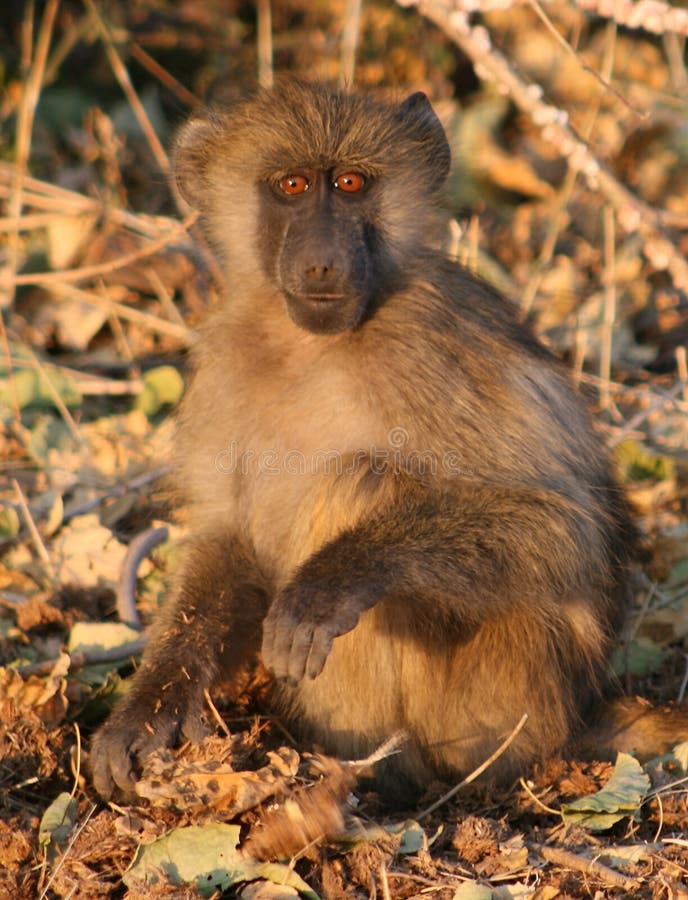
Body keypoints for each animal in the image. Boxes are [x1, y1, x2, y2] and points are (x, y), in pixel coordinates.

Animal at [91, 79, 640, 803]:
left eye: (351, 183)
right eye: (292, 185)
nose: (323, 261)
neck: (312, 346)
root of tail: (574, 717)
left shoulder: (430, 344)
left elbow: (564, 526)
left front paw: (328, 585)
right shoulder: (223, 361)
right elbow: (226, 534)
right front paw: (146, 713)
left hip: (505, 697)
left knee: (357, 476)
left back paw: (366, 772)